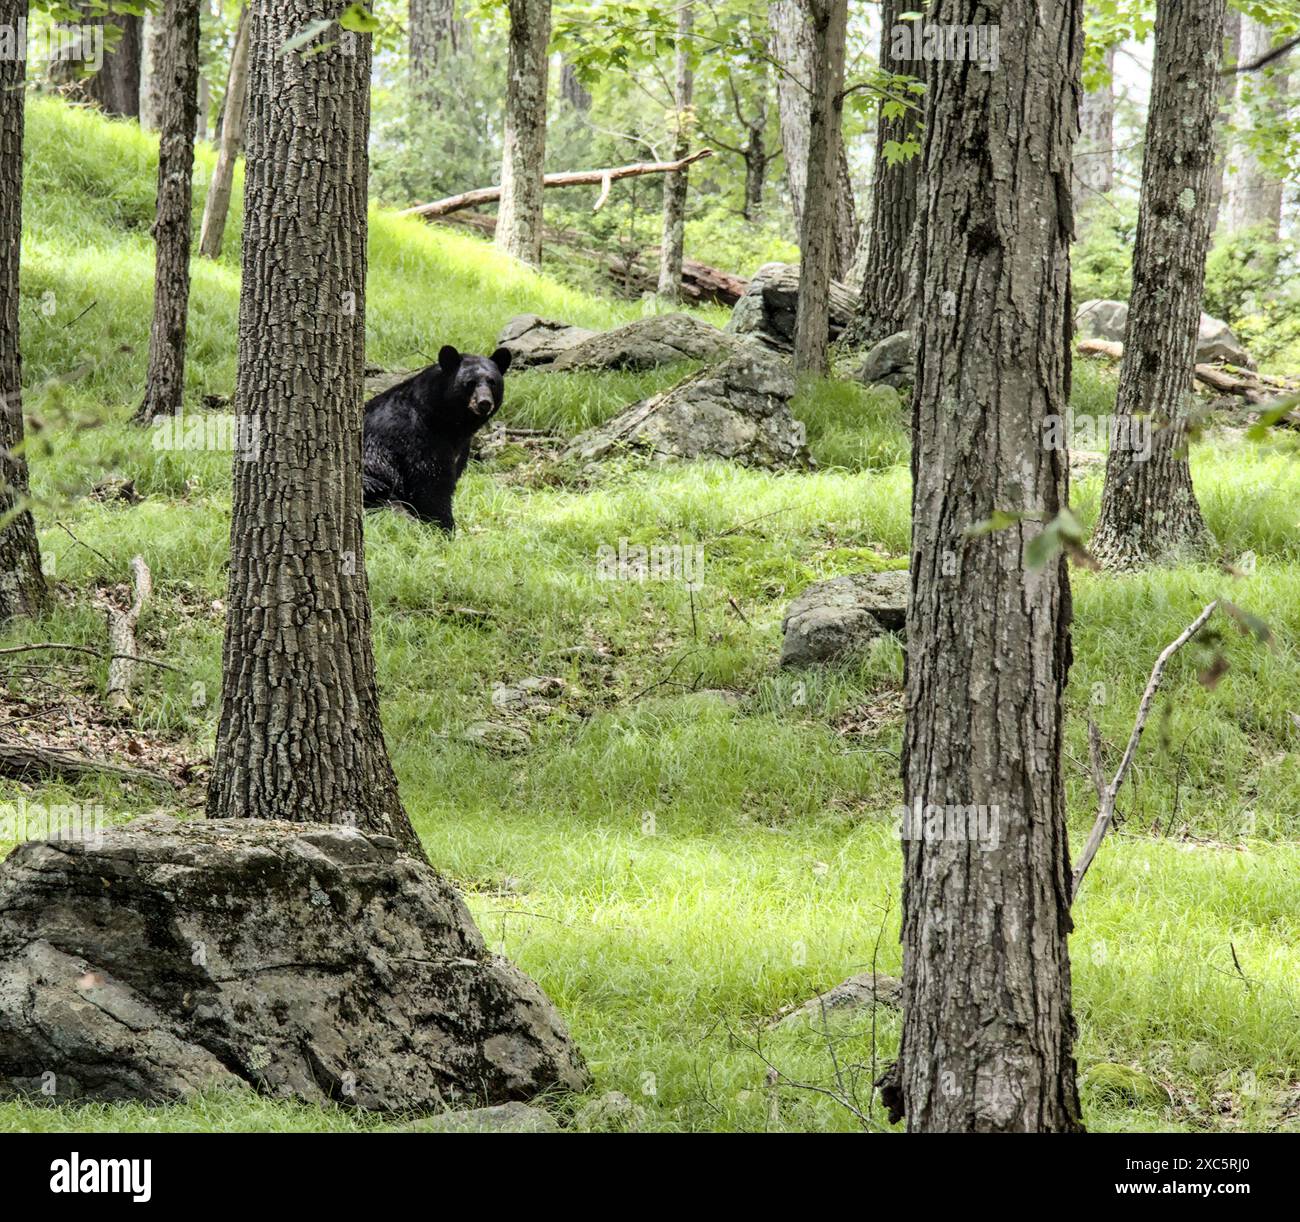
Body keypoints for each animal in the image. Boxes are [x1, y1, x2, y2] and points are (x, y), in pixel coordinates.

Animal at [362, 344, 512, 531]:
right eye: (470, 383)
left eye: (492, 382)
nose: (484, 402)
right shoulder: (420, 438)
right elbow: (432, 486)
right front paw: (445, 527)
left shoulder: (461, 447)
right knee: (376, 489)